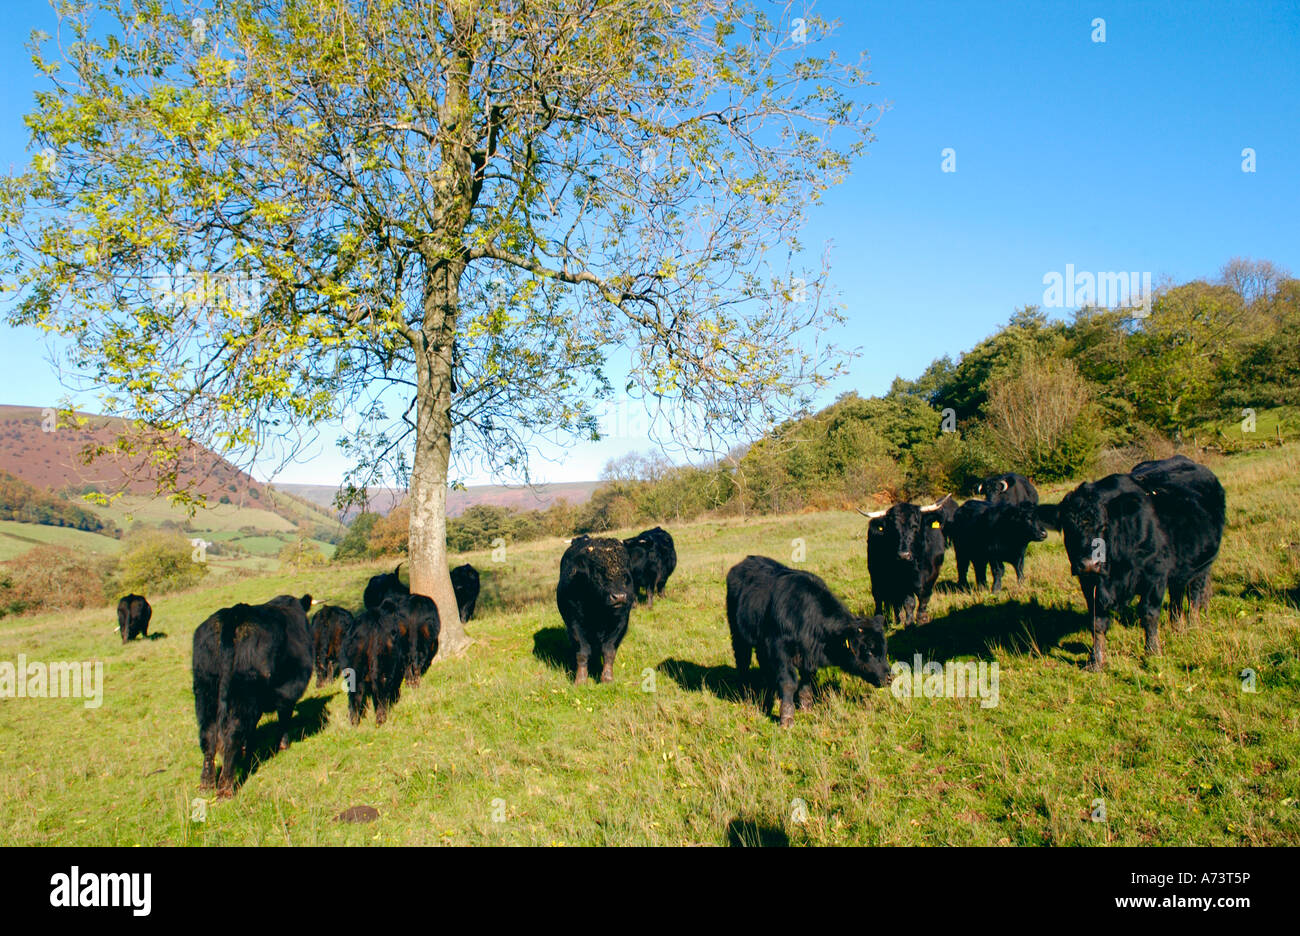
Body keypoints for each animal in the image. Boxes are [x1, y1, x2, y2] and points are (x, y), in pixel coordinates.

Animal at [192, 594, 314, 796]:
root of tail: (235, 613)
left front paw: (247, 751)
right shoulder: (288, 692)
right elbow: (284, 719)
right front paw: (283, 745)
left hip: (205, 689)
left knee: (208, 735)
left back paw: (206, 784)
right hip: (243, 693)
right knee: (232, 733)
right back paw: (226, 789)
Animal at [556, 536, 634, 684]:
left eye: (625, 573)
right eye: (598, 572)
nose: (619, 597)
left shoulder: (621, 622)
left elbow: (609, 650)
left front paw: (607, 678)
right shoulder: (574, 623)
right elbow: (582, 652)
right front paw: (580, 680)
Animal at [725, 556, 892, 727]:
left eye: (884, 650)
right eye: (869, 650)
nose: (889, 677)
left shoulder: (807, 655)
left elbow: (807, 680)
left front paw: (806, 707)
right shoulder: (780, 650)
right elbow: (789, 682)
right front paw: (787, 716)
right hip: (738, 635)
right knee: (742, 660)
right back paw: (745, 690)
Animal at [1059, 455, 1225, 669]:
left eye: (1103, 526)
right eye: (1068, 529)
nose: (1088, 563)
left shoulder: (1155, 576)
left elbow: (1149, 614)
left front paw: (1152, 652)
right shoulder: (1089, 583)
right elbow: (1097, 622)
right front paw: (1096, 660)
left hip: (1202, 565)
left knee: (1195, 594)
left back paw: (1192, 624)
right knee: (1177, 598)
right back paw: (1177, 627)